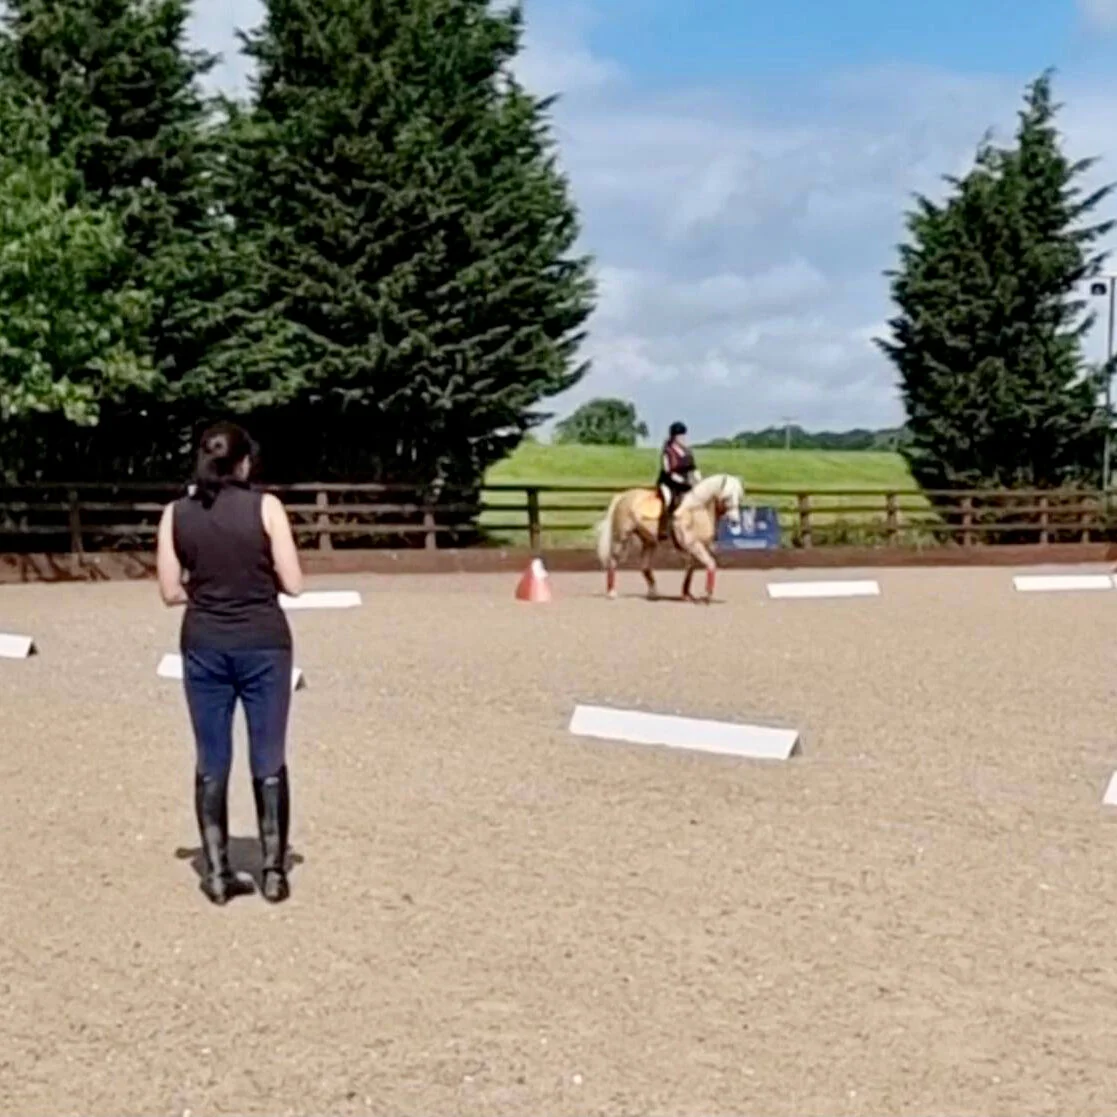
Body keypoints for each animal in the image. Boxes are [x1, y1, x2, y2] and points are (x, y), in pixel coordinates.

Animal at [594, 473, 745, 603]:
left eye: (739, 497)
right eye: (727, 497)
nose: (735, 522)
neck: (697, 510)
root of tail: (623, 496)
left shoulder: (697, 548)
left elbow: (691, 568)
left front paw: (687, 594)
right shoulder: (693, 545)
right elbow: (710, 564)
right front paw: (707, 594)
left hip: (649, 541)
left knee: (645, 566)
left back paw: (653, 594)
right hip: (621, 537)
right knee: (613, 561)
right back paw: (612, 592)